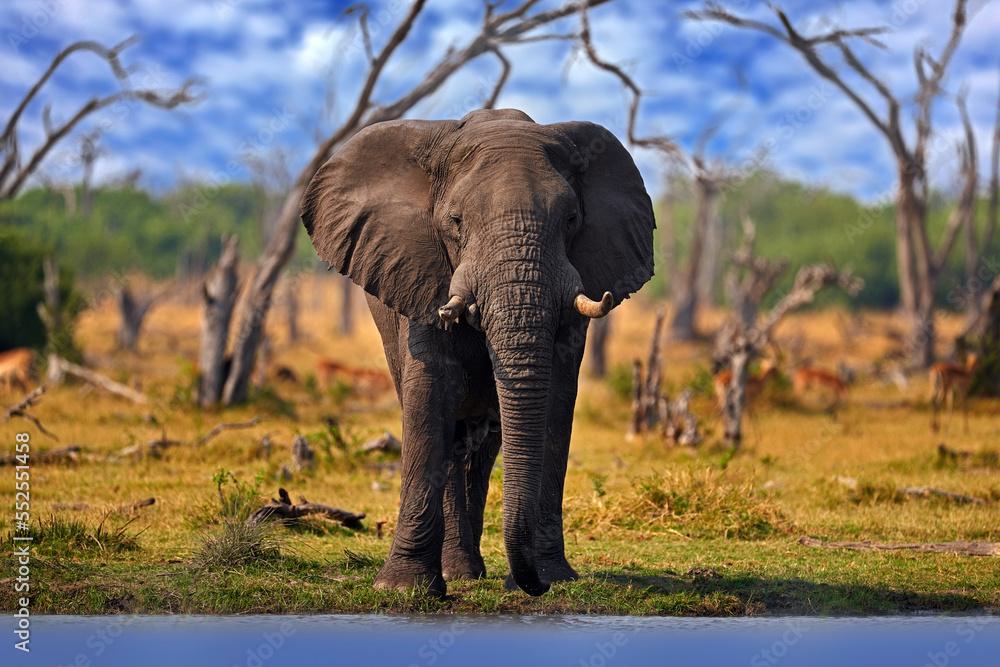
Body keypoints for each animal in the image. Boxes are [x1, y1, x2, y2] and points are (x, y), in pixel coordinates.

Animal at [301, 108, 655, 596]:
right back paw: (461, 574)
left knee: (483, 448)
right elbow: (431, 397)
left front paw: (555, 578)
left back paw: (471, 571)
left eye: (570, 219)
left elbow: (555, 403)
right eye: (455, 221)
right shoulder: (419, 275)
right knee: (452, 437)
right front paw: (404, 589)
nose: (533, 585)